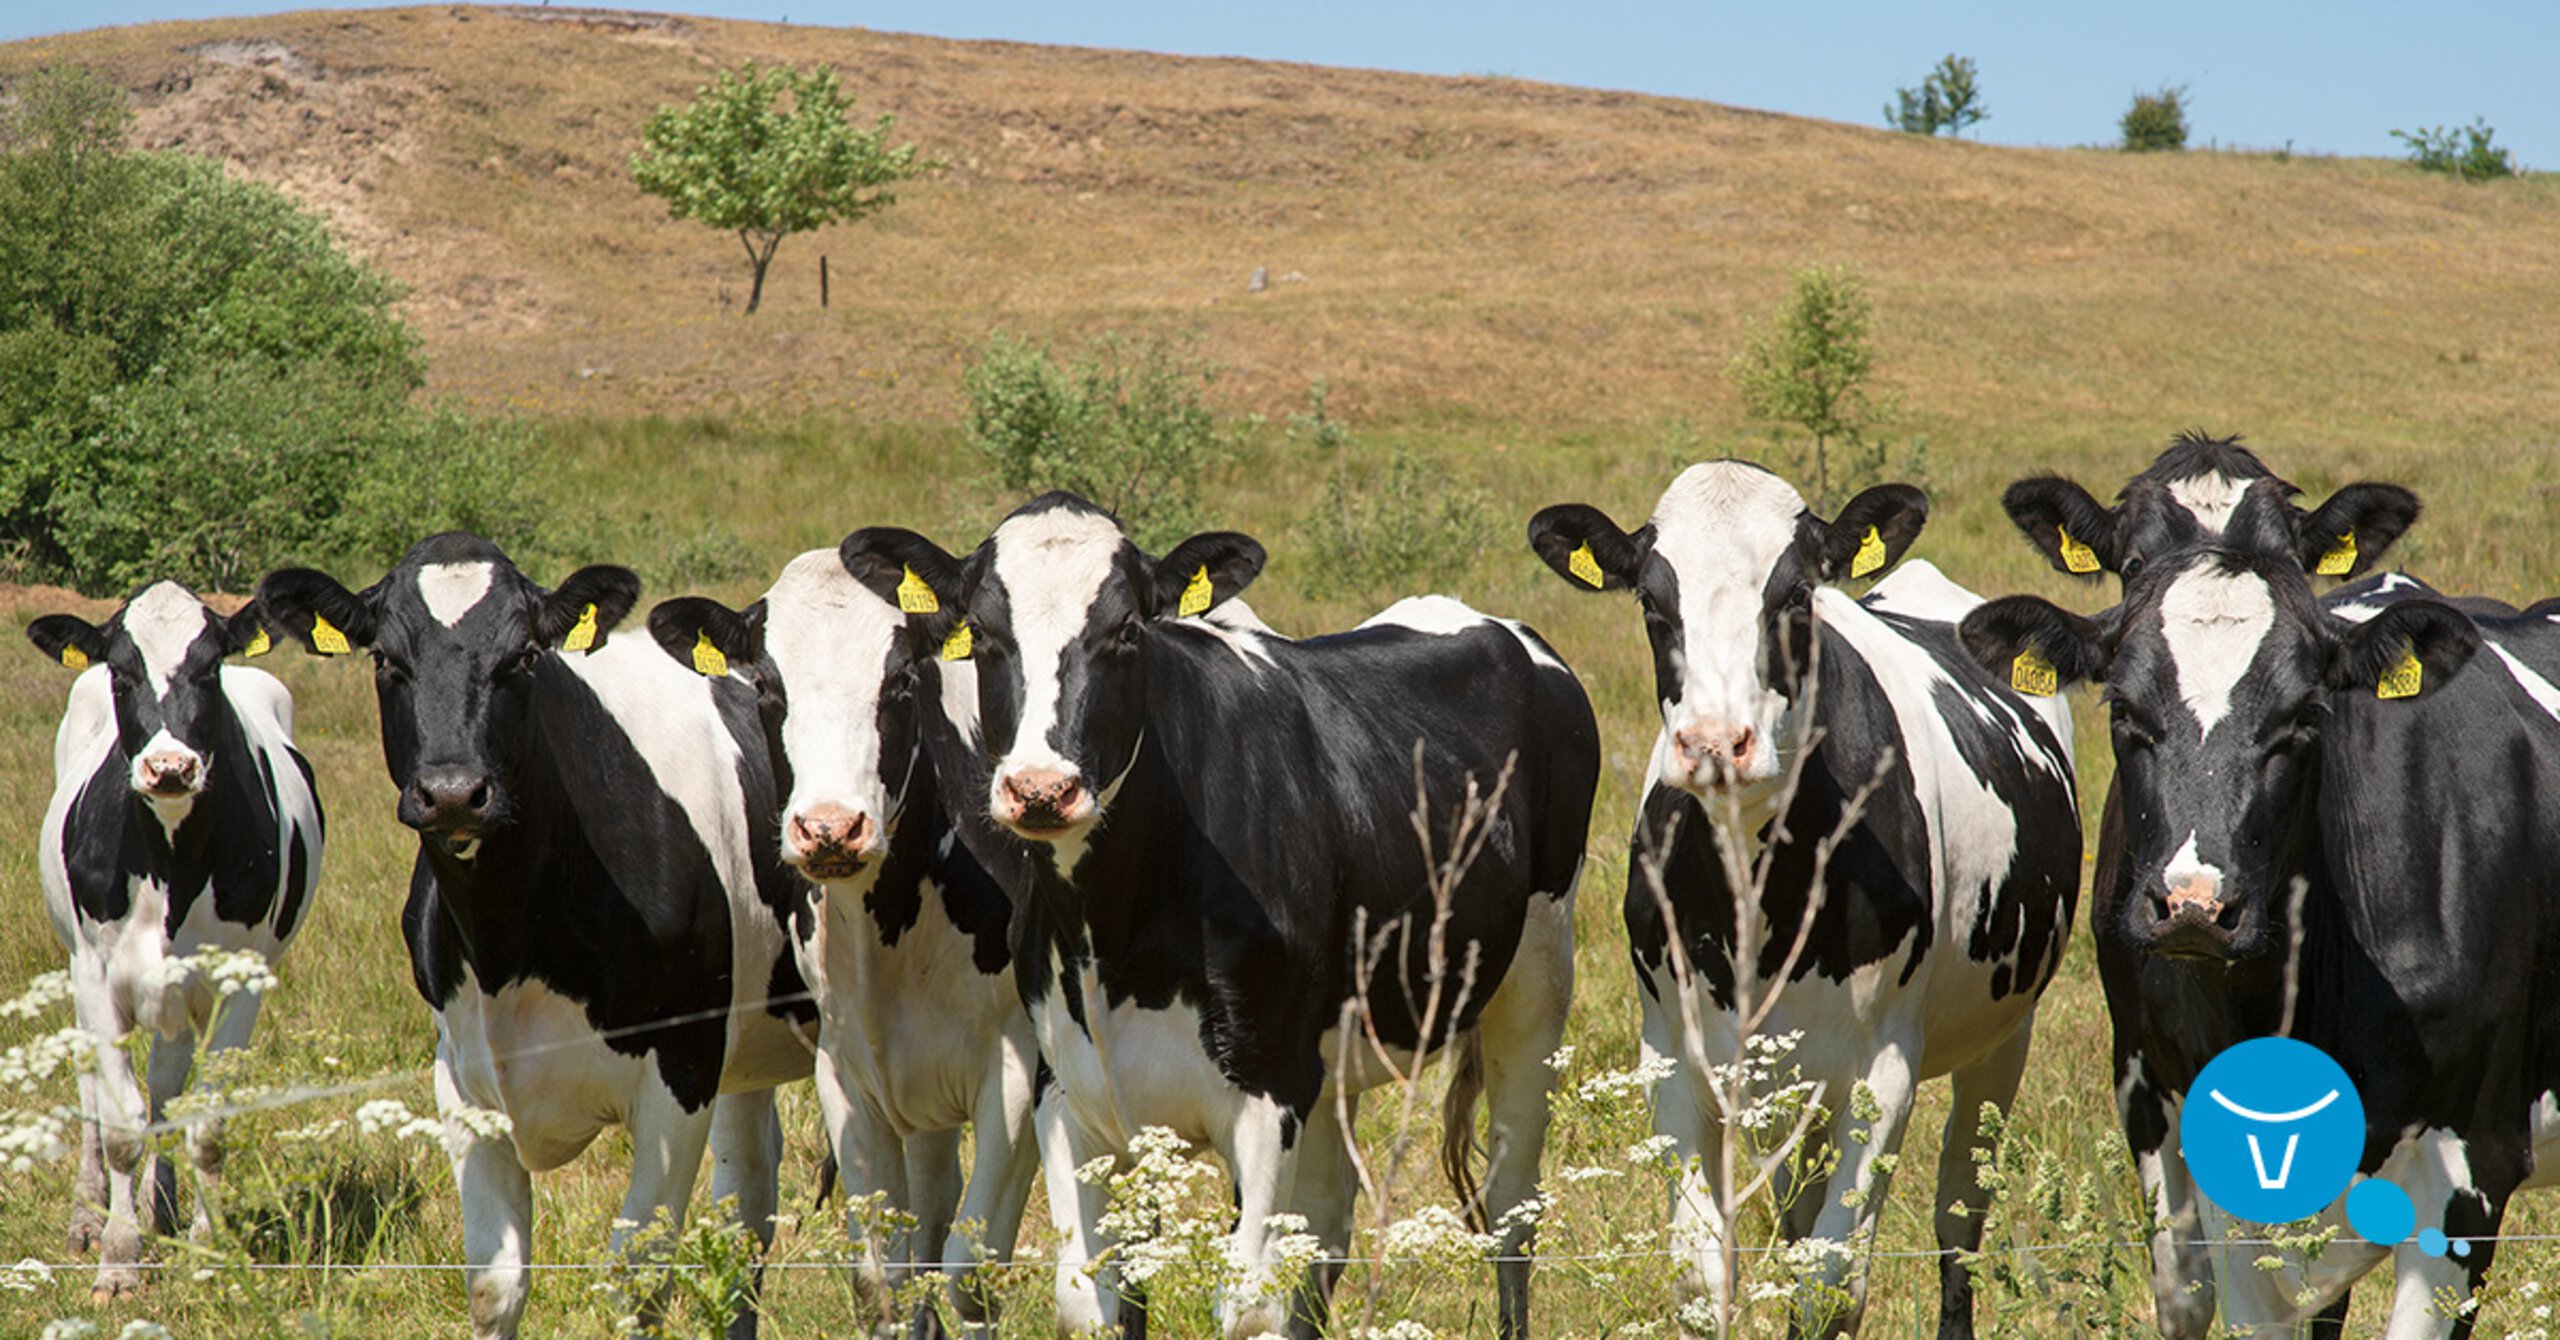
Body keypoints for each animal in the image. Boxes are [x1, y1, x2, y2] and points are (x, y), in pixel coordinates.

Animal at [28, 582, 324, 1301]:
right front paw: (117, 1258)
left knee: (166, 1084)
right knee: (94, 1093)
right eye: (121, 671)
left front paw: (207, 1251)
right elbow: (122, 1128)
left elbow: (205, 1124)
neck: (170, 861)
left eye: (209, 668)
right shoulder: (97, 974)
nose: (169, 767)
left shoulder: (240, 982)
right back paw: (89, 1216)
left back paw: (160, 1209)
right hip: (78, 968)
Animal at [256, 534, 816, 1340]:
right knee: (749, 1205)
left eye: (521, 657)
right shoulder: (460, 1077)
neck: (509, 944)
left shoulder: (682, 1068)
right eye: (385, 660)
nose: (453, 793)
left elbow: (636, 1279)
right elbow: (494, 1285)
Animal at [647, 550, 1040, 1331]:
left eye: (900, 681)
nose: (830, 827)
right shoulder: (849, 1072)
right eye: (767, 687)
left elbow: (971, 1275)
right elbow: (885, 1279)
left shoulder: (1017, 1073)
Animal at [842, 492, 1598, 1339]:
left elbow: (1248, 1305)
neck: (1118, 930)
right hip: (1327, 1060)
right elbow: (1093, 1301)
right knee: (1327, 1224)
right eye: (983, 635)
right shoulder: (1069, 1093)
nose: (1041, 789)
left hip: (1534, 987)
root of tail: (1480, 618)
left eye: (1127, 631)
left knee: (1511, 1211)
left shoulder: (1266, 1090)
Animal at [1527, 462, 2083, 1339]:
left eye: (1794, 596)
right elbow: (1704, 1275)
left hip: (2003, 1038)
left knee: (1959, 1215)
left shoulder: (1882, 1071)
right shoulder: (1670, 1055)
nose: (1714, 743)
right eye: (1651, 600)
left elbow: (1829, 1283)